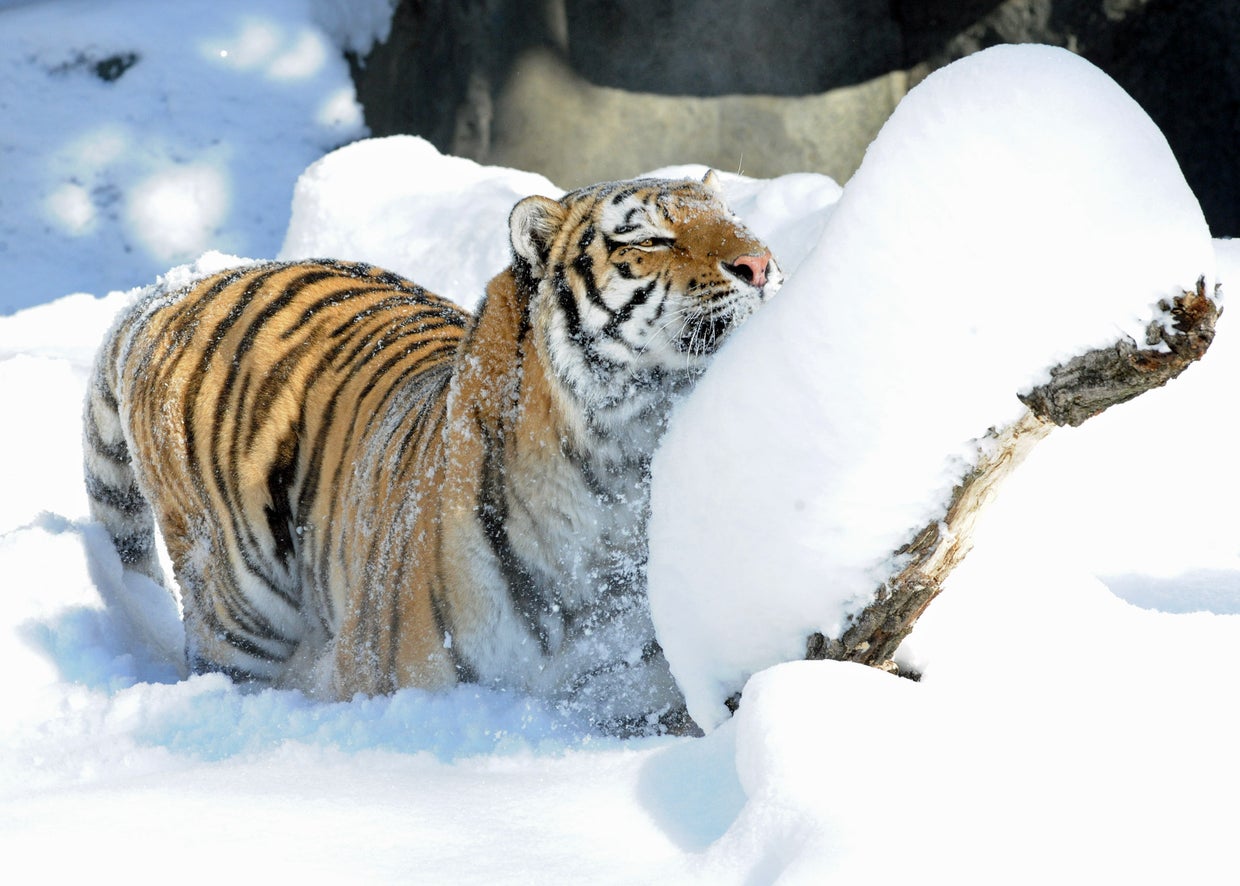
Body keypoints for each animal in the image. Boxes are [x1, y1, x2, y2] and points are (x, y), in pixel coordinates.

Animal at [82, 172, 781, 733]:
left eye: (738, 221)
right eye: (650, 239)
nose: (762, 264)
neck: (618, 473)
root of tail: (175, 287)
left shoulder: (640, 706)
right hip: (240, 605)